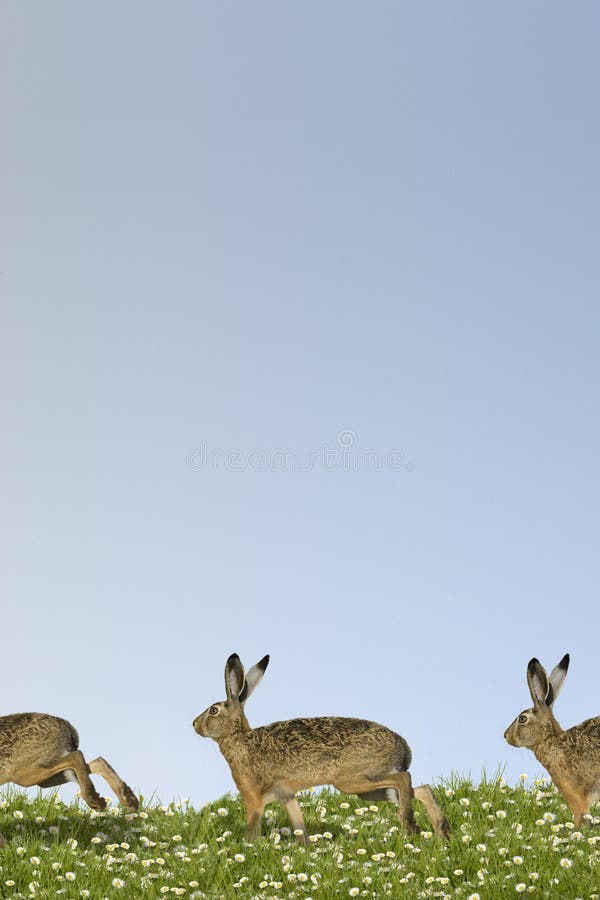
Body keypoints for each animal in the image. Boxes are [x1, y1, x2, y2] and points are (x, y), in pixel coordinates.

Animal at [0, 711, 139, 844]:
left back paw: (95, 800)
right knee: (96, 762)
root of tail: (68, 728)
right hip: (49, 776)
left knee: (77, 756)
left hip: (25, 775)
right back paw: (129, 800)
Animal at [193, 653, 450, 842]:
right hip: (371, 790)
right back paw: (441, 832)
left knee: (405, 779)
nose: (194, 725)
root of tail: (404, 748)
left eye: (213, 710)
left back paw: (410, 823)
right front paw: (305, 848)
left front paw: (249, 847)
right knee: (421, 788)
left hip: (352, 780)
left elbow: (252, 826)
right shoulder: (286, 795)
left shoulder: (253, 796)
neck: (238, 739)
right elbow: (299, 825)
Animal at [505, 654, 600, 827]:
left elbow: (580, 818)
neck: (551, 741)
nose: (506, 735)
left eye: (522, 719)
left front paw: (574, 832)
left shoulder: (575, 796)